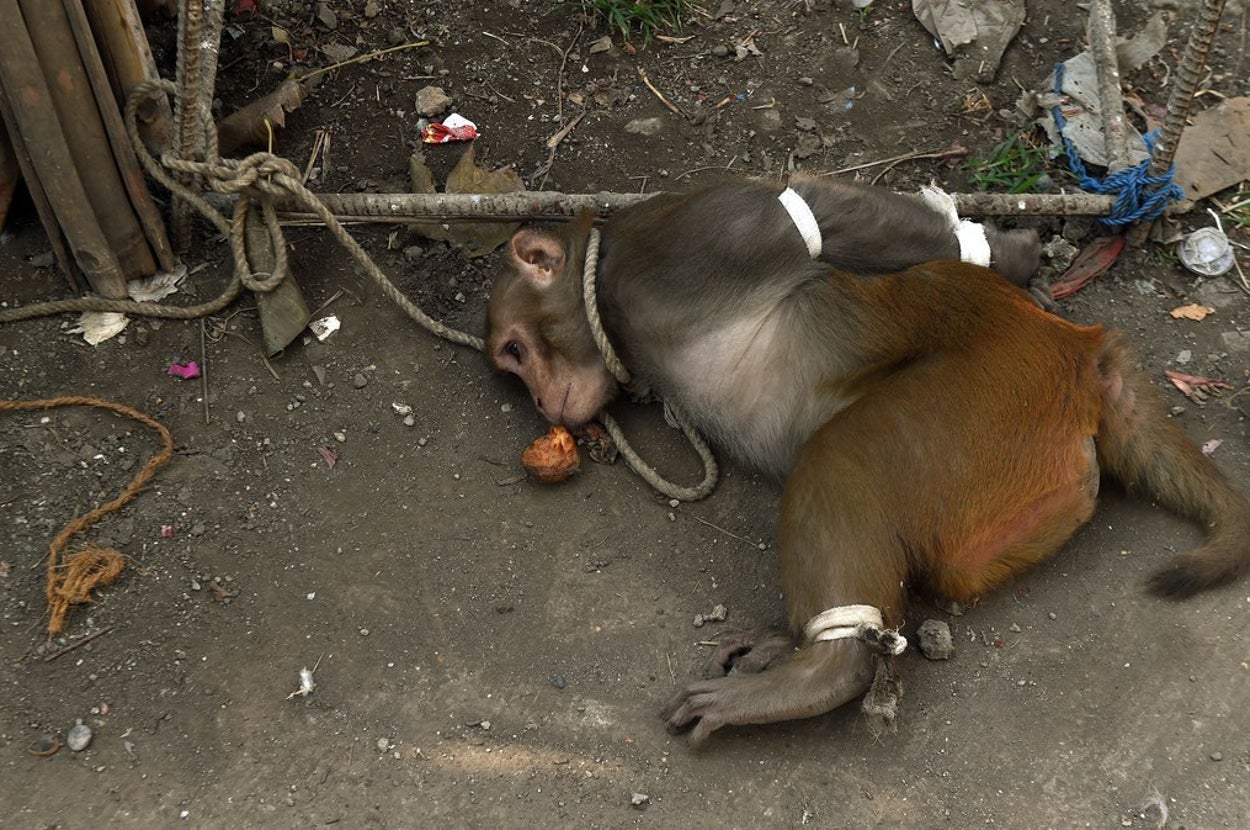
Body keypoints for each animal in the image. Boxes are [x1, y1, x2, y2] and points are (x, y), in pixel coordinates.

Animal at [485, 175, 1250, 747]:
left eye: (514, 352)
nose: (543, 405)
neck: (612, 306)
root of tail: (1083, 355)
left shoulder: (690, 238)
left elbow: (810, 216)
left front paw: (1009, 250)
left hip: (988, 398)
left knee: (839, 455)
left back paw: (824, 669)